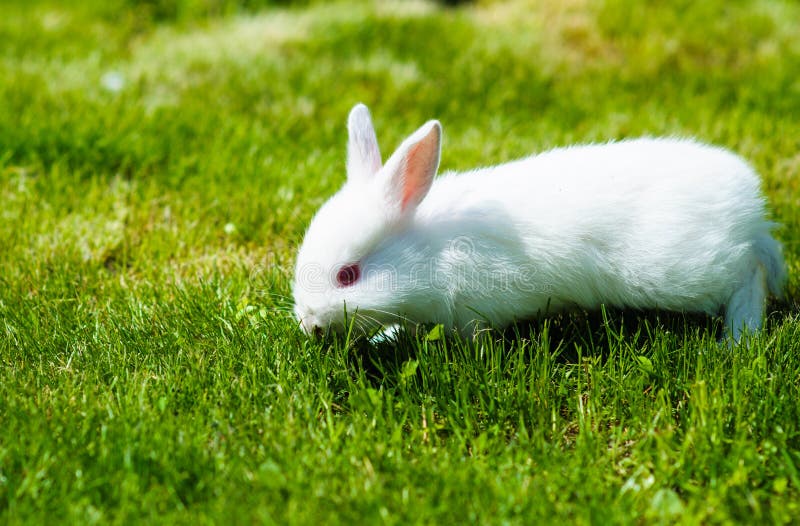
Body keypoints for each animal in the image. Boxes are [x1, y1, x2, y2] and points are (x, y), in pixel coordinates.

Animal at [293, 103, 785, 342]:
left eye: (348, 276)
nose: (308, 324)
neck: (428, 250)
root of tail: (750, 206)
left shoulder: (471, 306)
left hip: (687, 271)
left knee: (749, 274)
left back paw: (739, 339)